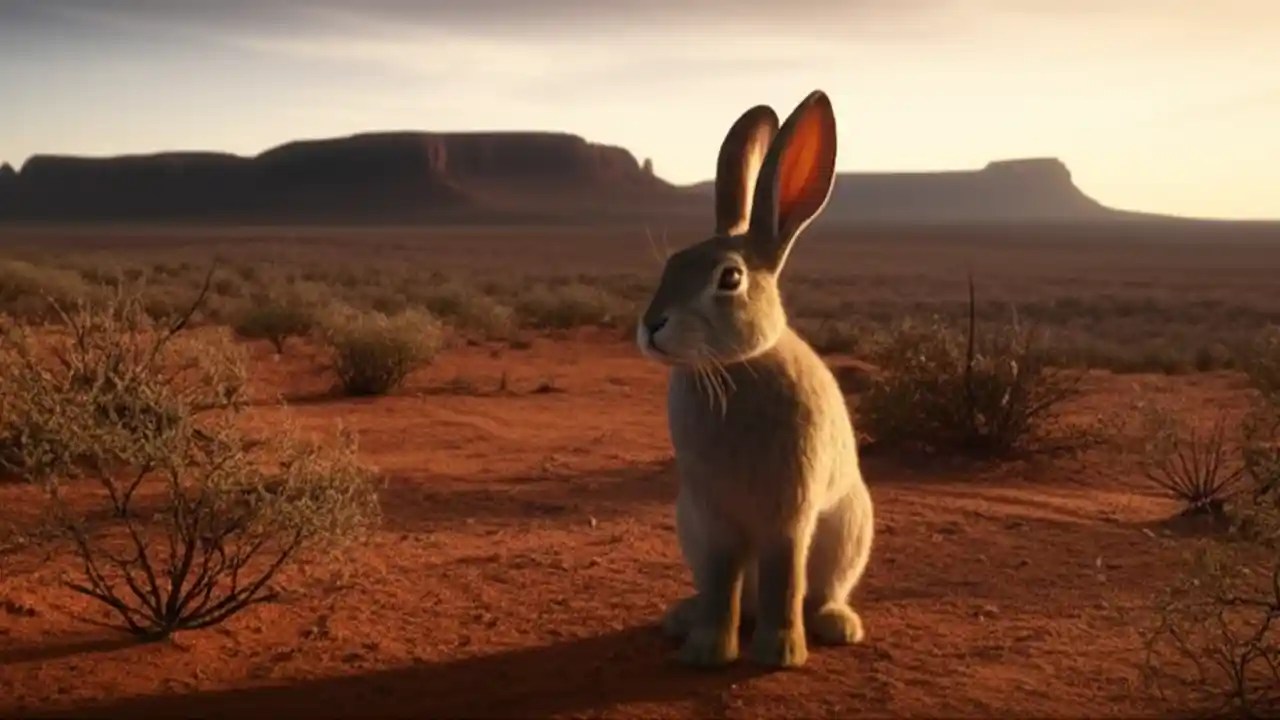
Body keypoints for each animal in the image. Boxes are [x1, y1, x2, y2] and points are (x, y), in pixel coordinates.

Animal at [636, 90, 874, 669]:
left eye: (730, 278)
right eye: (671, 263)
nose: (652, 326)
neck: (734, 367)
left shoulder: (788, 514)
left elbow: (783, 579)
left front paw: (780, 654)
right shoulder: (715, 520)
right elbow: (723, 582)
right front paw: (706, 651)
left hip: (849, 531)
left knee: (815, 592)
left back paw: (835, 624)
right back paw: (684, 618)